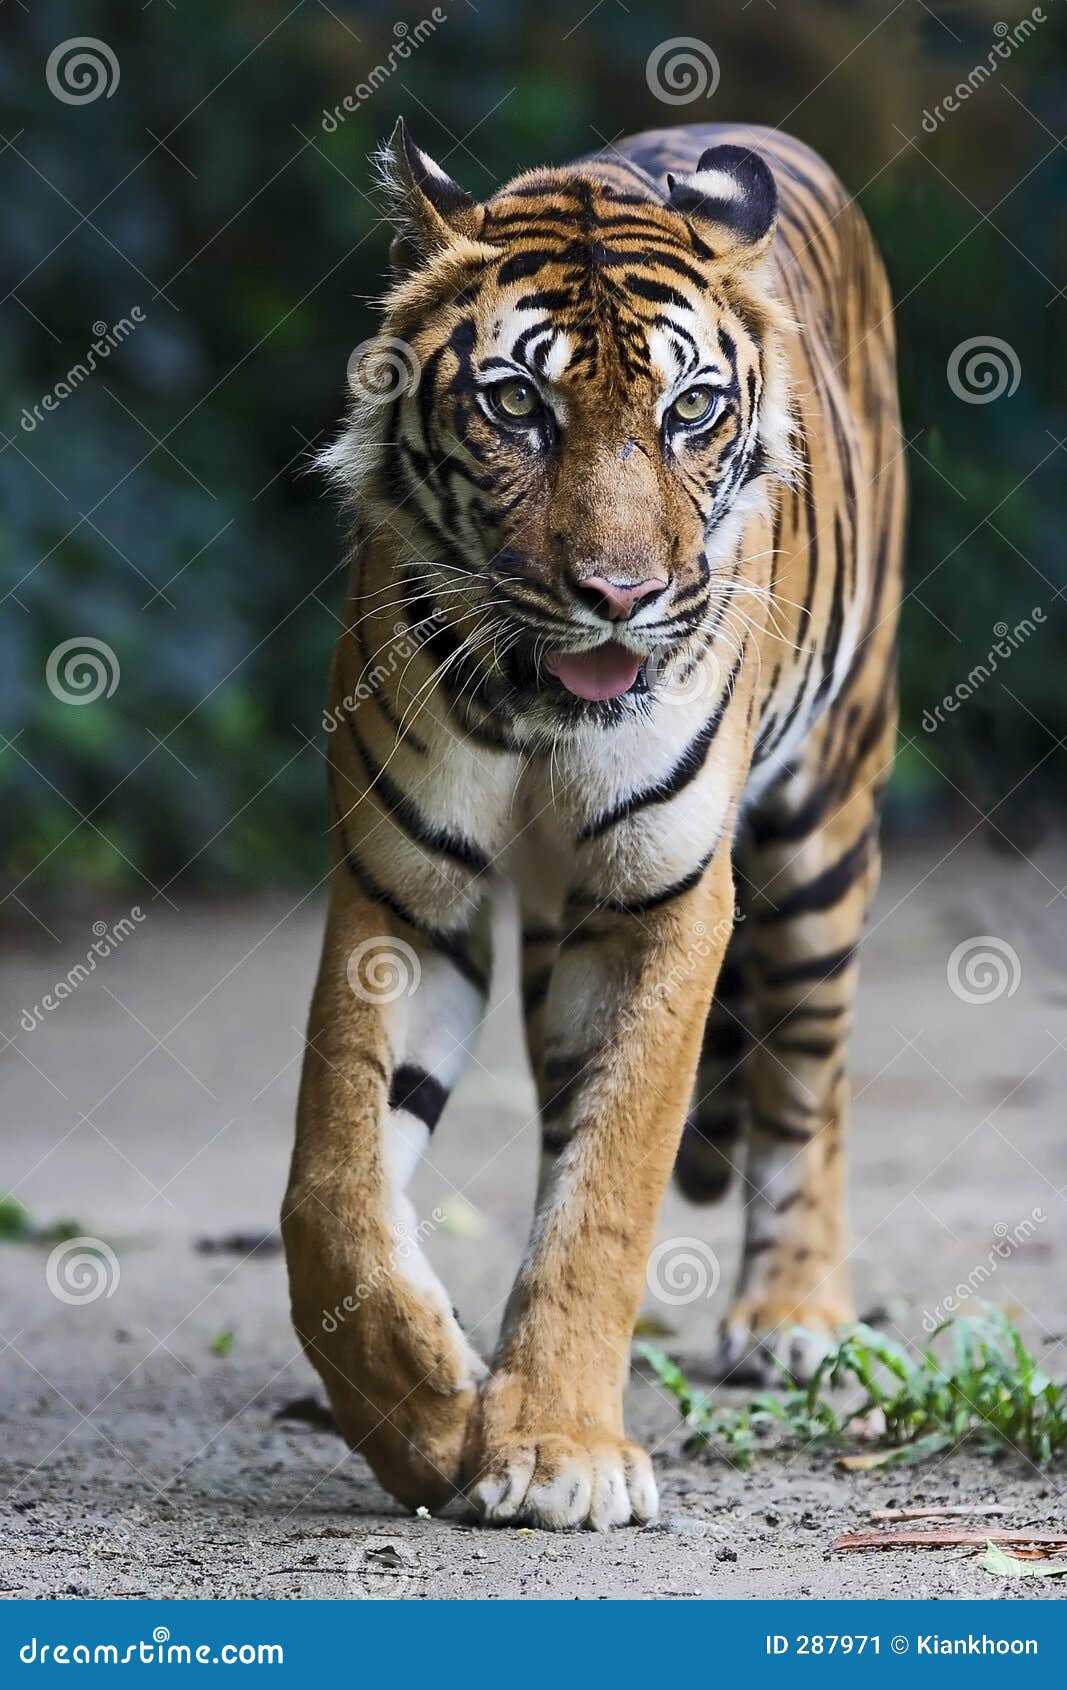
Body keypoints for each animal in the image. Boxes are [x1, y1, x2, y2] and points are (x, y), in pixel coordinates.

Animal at [281, 117, 905, 1531]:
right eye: (518, 404)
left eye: (690, 413)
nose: (618, 595)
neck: (532, 708)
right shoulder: (402, 889)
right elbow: (334, 1183)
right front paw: (427, 1413)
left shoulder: (664, 899)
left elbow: (609, 1191)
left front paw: (557, 1448)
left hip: (822, 824)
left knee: (812, 1077)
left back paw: (790, 1315)